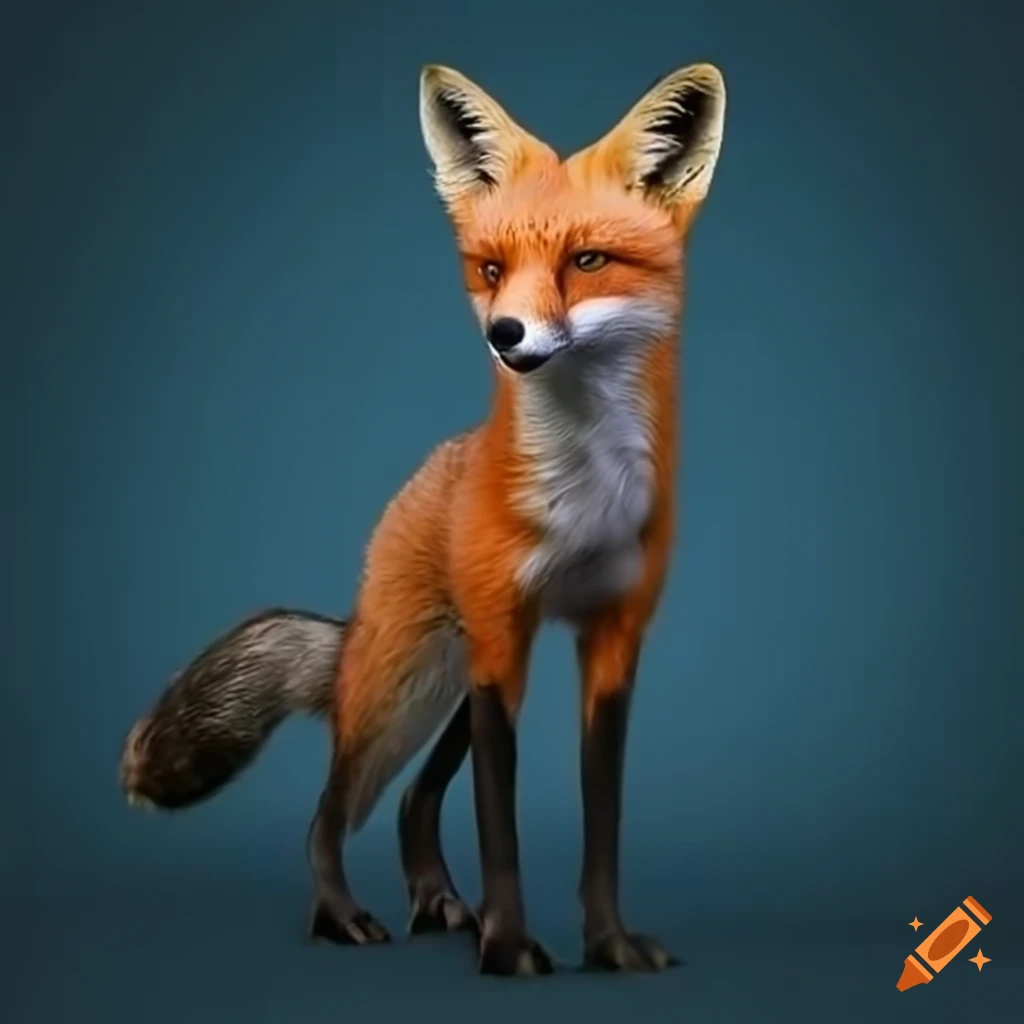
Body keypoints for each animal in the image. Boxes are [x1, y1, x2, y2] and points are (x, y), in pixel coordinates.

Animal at [119, 61, 726, 977]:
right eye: (489, 268)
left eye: (586, 262)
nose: (505, 335)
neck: (585, 497)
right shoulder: (506, 642)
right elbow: (498, 823)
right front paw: (510, 950)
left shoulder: (612, 639)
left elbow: (602, 818)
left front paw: (607, 945)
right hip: (411, 690)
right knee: (330, 811)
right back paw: (343, 916)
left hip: (456, 684)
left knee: (410, 798)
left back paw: (440, 904)